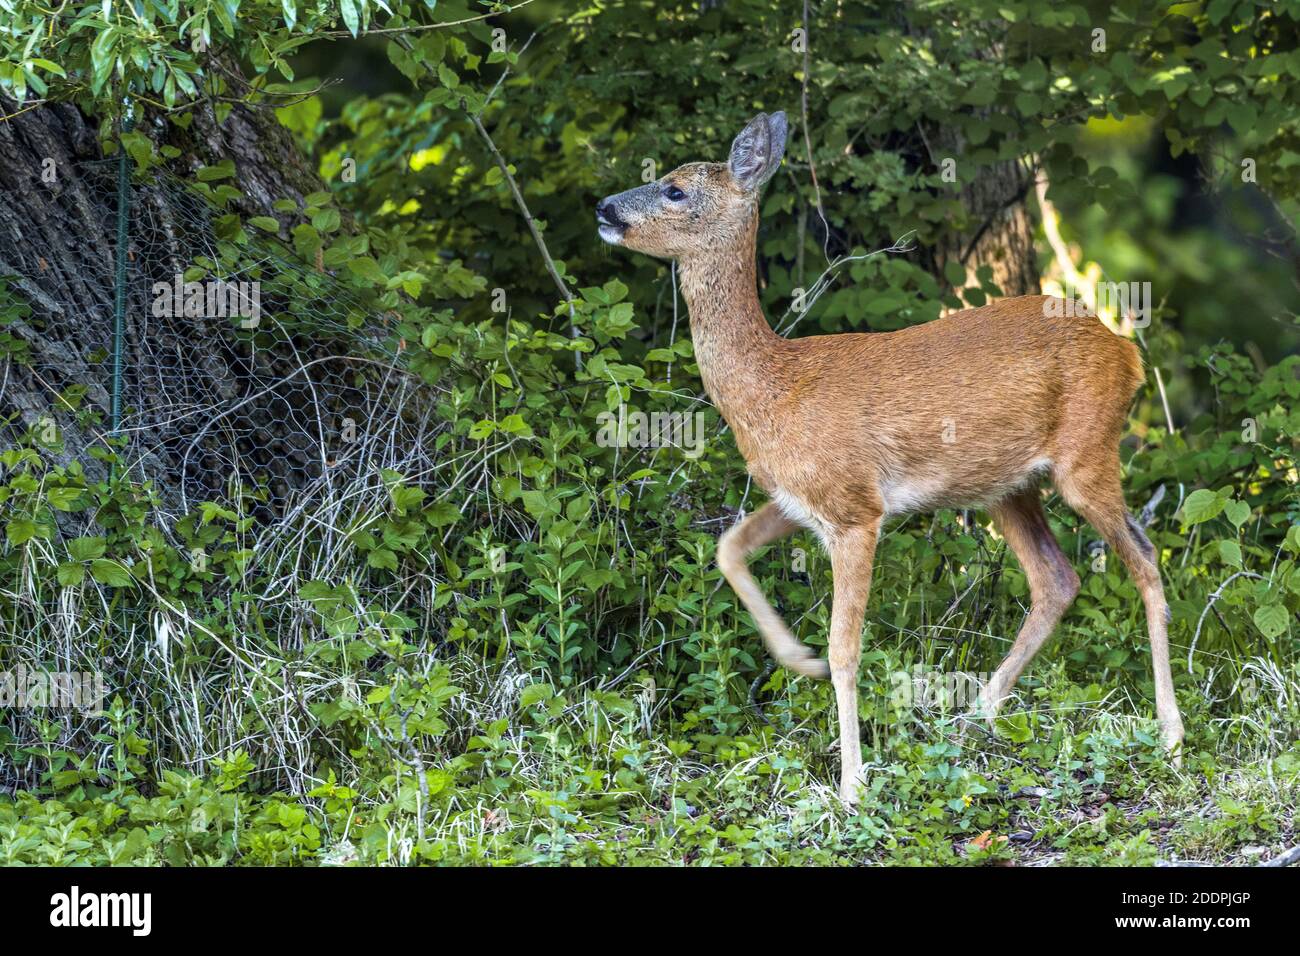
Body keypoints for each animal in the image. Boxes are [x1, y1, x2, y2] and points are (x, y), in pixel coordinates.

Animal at [596, 111, 1184, 804]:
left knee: (1144, 559)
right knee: (1056, 579)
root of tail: (1127, 352)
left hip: (1086, 455)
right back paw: (976, 714)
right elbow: (728, 548)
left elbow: (846, 647)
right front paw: (797, 659)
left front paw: (852, 784)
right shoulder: (801, 497)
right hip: (1006, 487)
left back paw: (1170, 734)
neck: (774, 386)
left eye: (675, 189)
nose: (604, 207)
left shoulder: (855, 508)